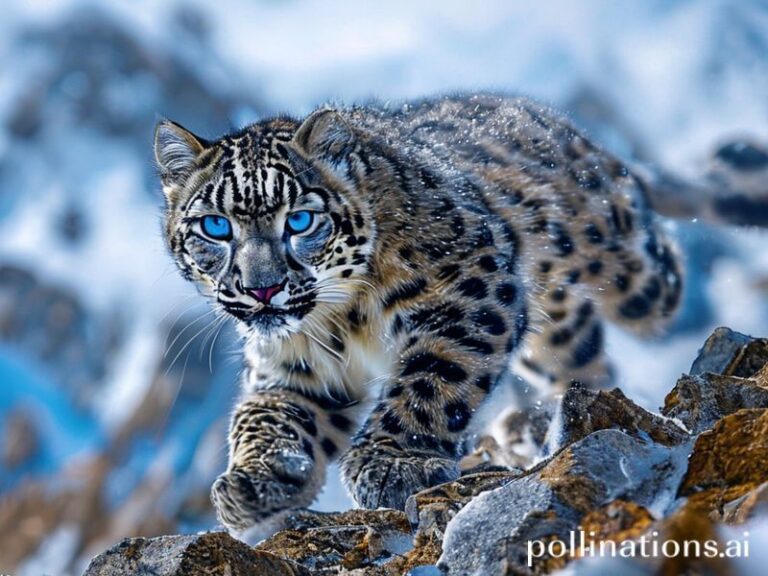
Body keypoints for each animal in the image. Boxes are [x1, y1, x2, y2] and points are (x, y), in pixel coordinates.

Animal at [153, 93, 682, 533]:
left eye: (300, 220)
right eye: (215, 227)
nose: (262, 290)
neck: (342, 320)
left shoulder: (469, 289)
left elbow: (433, 377)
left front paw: (393, 463)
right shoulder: (296, 367)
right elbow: (265, 413)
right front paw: (256, 481)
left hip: (639, 282)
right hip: (558, 331)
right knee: (579, 358)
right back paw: (541, 422)